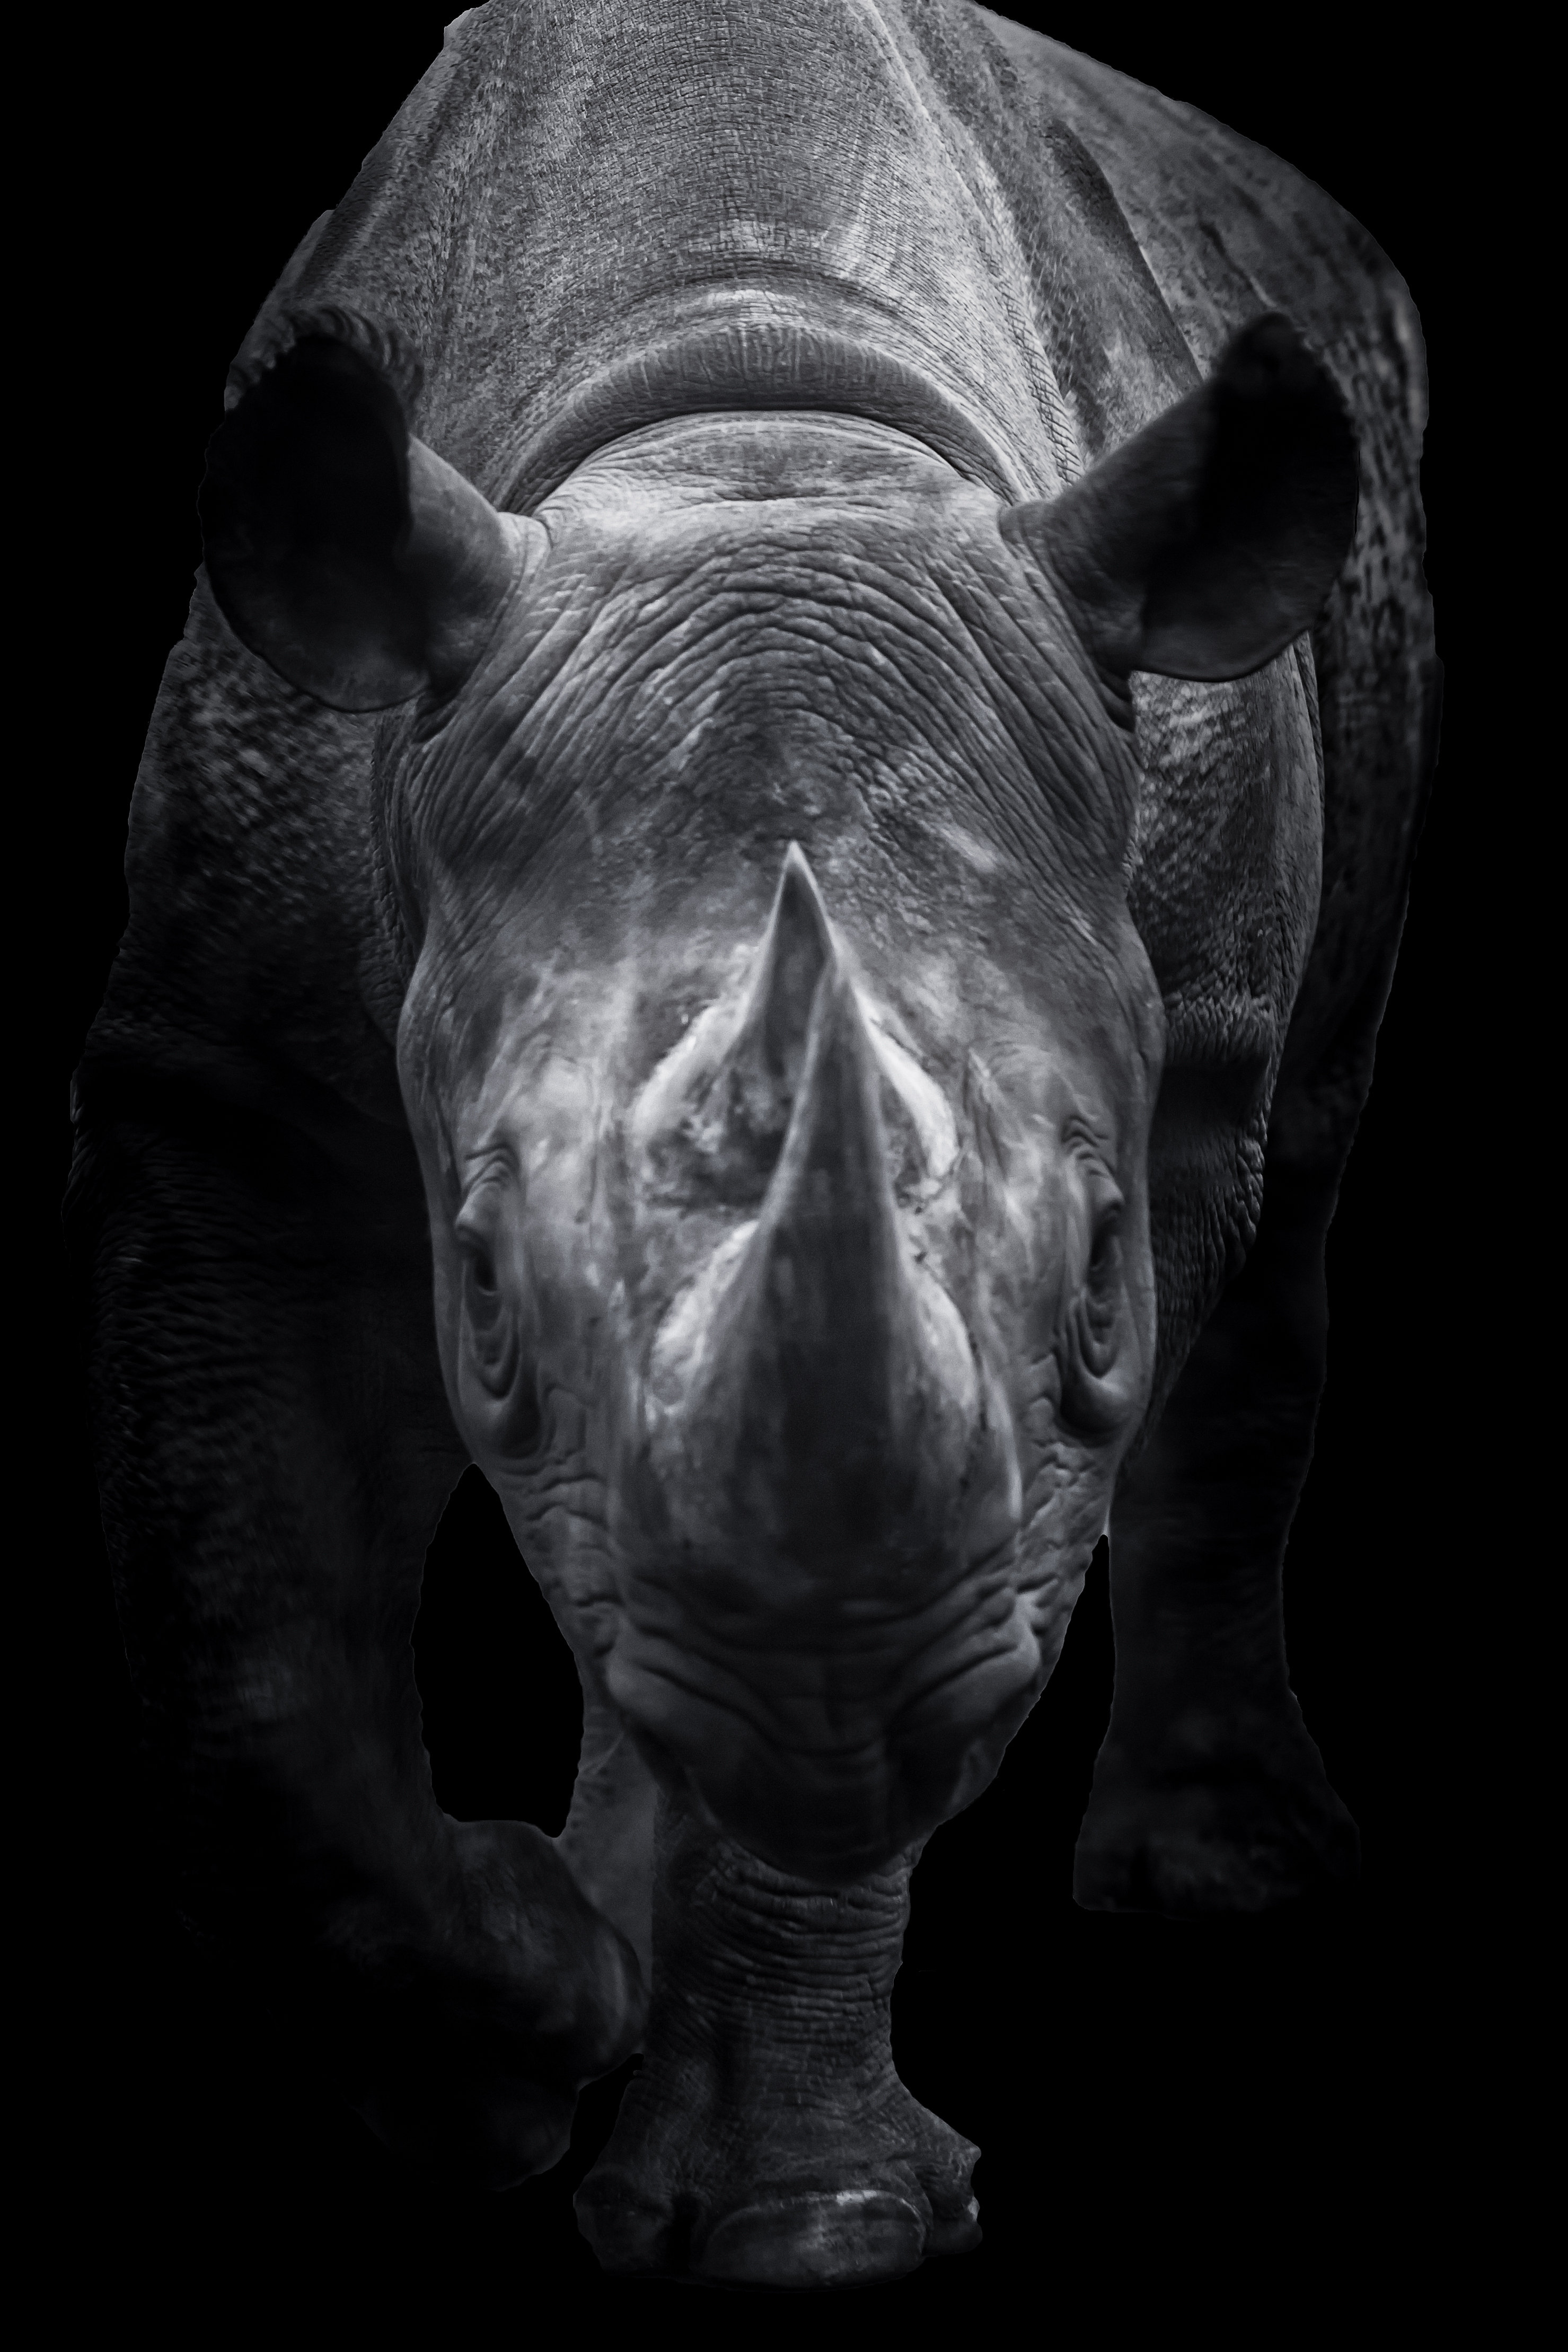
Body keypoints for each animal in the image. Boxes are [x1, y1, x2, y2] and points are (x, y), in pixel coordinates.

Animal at [69, 0, 1437, 2292]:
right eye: (480, 1295)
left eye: (1094, 1284)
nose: (834, 1729)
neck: (752, 442)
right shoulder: (221, 1066)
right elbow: (241, 1664)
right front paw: (519, 2014)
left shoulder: (1158, 1072)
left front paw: (803, 2219)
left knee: (1304, 1170)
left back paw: (1213, 1881)